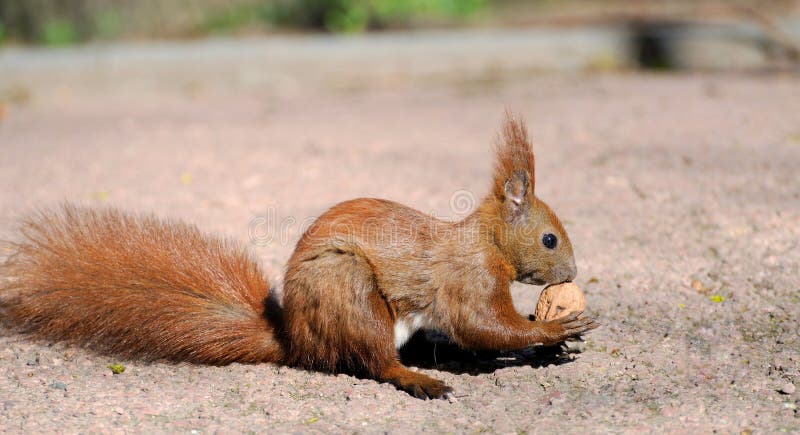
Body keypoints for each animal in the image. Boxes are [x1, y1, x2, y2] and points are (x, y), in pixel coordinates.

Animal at [0, 113, 597, 399]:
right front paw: (554, 330)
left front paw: (549, 335)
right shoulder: (467, 280)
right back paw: (418, 379)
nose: (571, 273)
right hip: (349, 290)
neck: (486, 242)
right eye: (550, 239)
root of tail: (297, 339)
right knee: (375, 360)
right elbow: (484, 326)